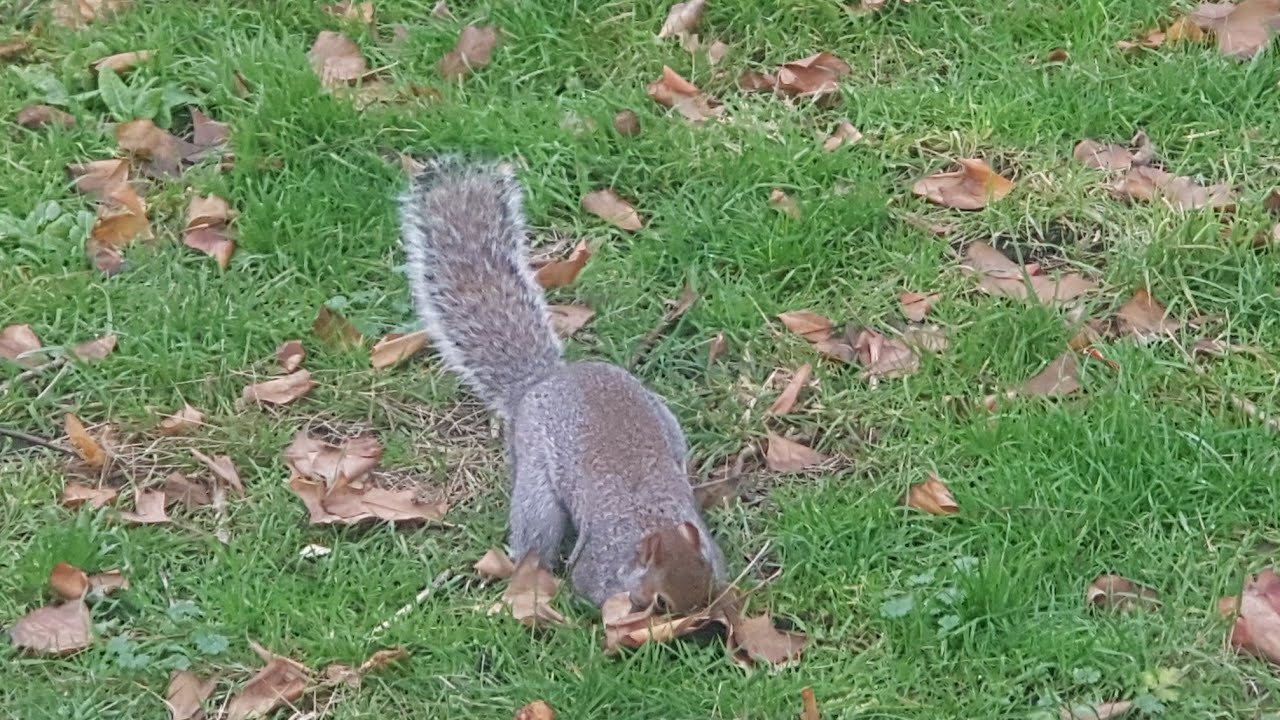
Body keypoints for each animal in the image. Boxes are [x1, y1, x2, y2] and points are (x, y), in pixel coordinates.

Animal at [399, 157, 727, 614]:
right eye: (661, 603)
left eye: (710, 579)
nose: (699, 625)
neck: (652, 520)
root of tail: (547, 379)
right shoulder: (597, 565)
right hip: (535, 483)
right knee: (534, 533)